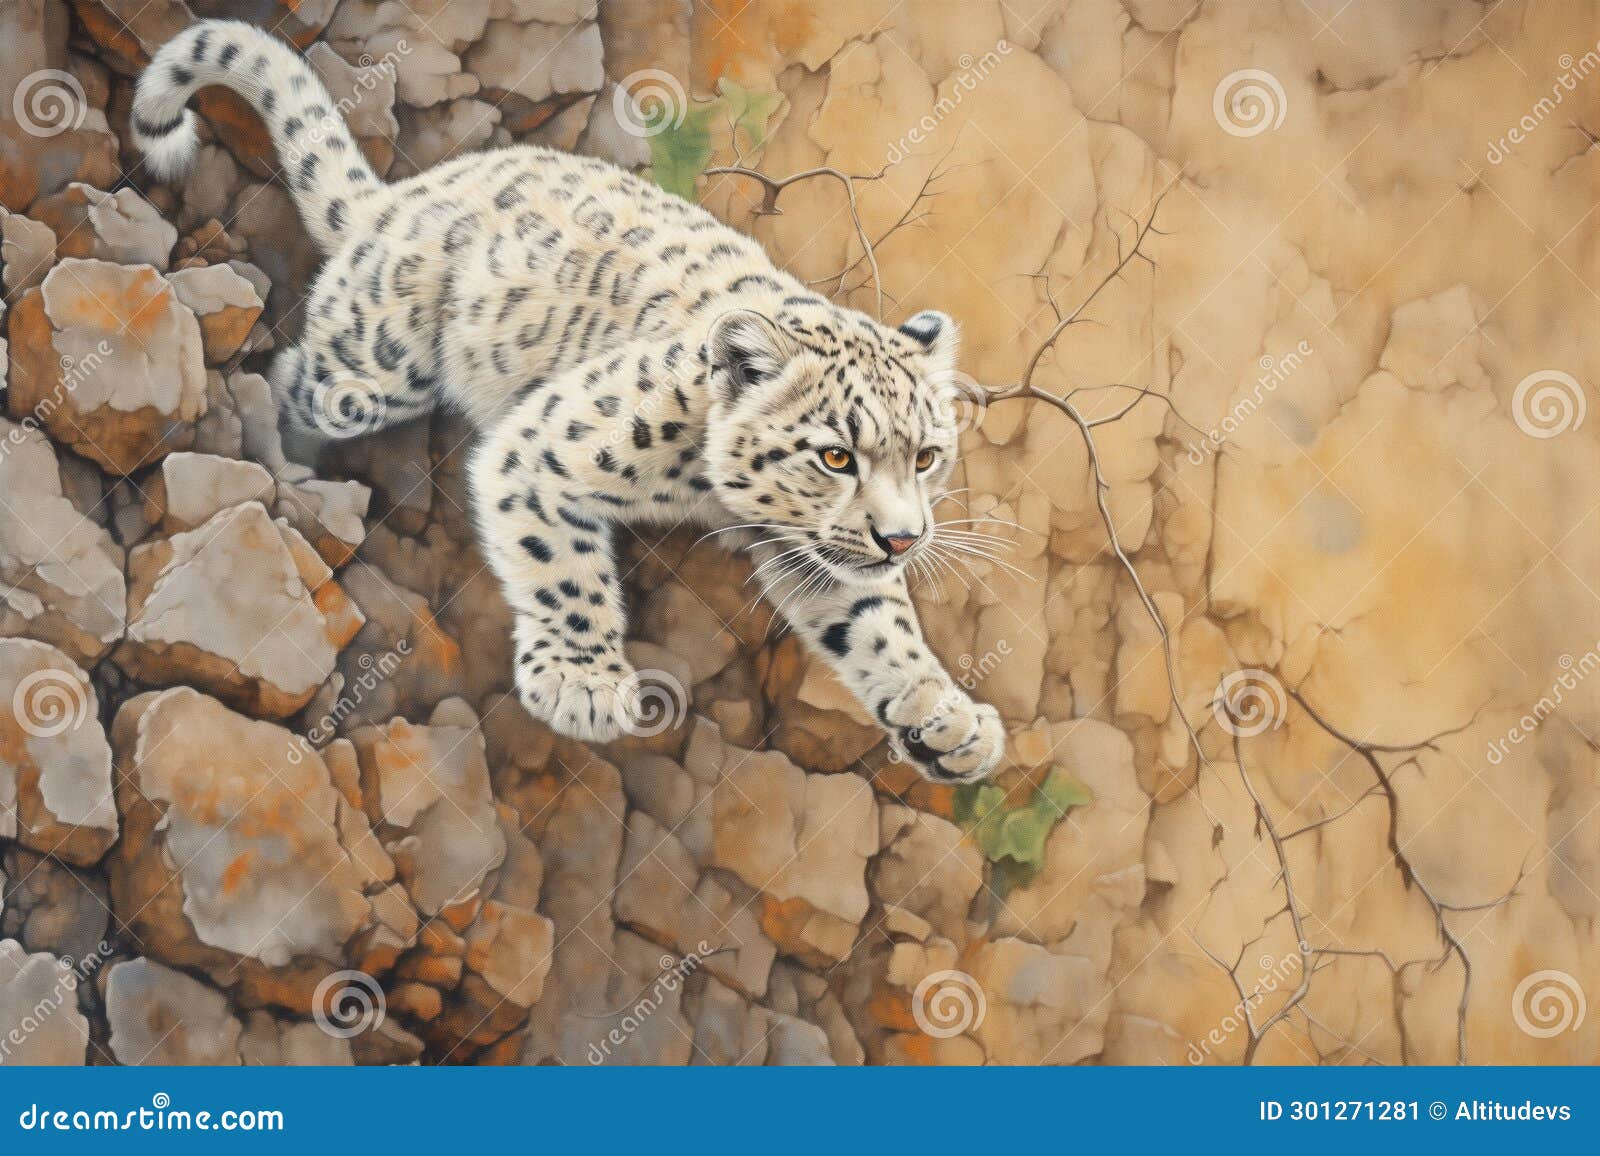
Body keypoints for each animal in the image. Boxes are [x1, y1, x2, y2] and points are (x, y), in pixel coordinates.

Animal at [133, 19, 1005, 783]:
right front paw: (583, 682)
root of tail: (409, 192)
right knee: (294, 376)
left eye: (927, 456)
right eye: (835, 456)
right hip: (376, 367)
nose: (904, 539)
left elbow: (879, 623)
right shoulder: (540, 447)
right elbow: (562, 568)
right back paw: (283, 460)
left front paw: (948, 722)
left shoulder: (815, 552)